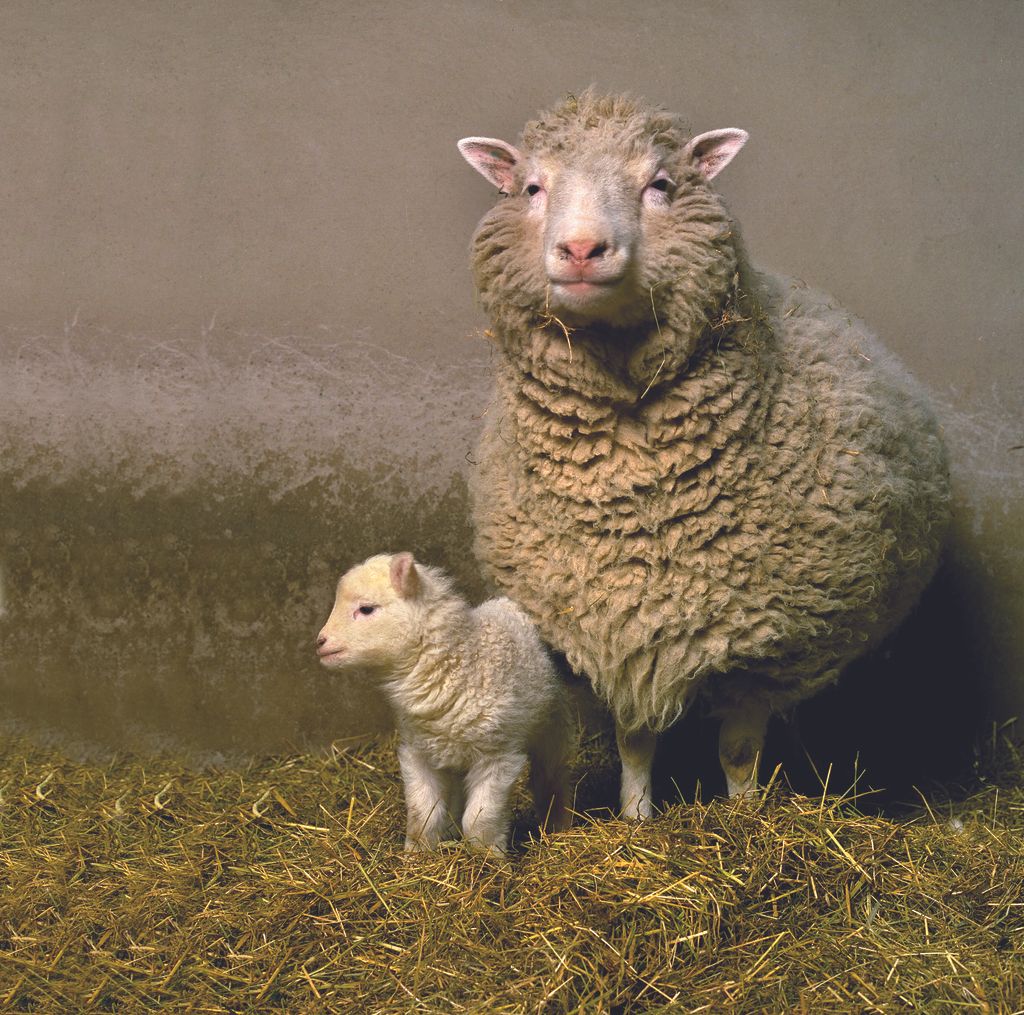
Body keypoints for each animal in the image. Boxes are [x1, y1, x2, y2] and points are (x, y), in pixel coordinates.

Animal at [316, 552, 576, 853]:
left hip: (552, 725)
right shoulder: (418, 754)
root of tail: (509, 603)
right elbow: (423, 813)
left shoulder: (498, 755)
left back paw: (558, 824)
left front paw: (488, 857)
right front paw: (416, 854)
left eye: (366, 609)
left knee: (551, 776)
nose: (320, 642)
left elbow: (480, 818)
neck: (458, 663)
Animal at [457, 90, 950, 817]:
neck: (634, 494)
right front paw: (636, 820)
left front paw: (746, 819)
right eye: (531, 187)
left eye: (660, 184)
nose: (581, 248)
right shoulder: (621, 629)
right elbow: (635, 743)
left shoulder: (765, 647)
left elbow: (739, 751)